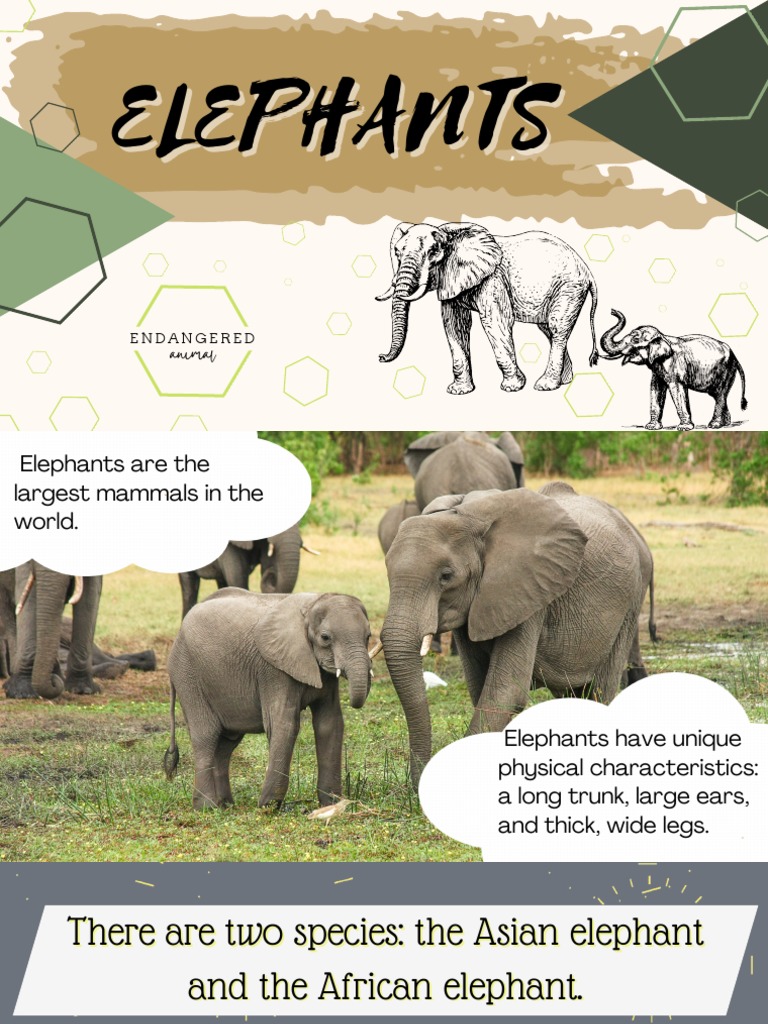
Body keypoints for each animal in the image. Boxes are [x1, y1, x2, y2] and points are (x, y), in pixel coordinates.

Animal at [165, 589, 374, 810]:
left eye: (368, 636)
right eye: (325, 638)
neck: (311, 605)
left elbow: (330, 724)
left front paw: (331, 804)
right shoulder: (274, 670)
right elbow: (284, 724)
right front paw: (269, 806)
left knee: (226, 743)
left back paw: (226, 805)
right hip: (187, 675)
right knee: (206, 735)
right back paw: (207, 807)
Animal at [376, 221, 598, 394]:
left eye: (432, 252)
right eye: (397, 252)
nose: (381, 357)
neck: (449, 232)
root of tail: (587, 270)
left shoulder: (493, 280)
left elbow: (496, 321)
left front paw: (512, 388)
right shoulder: (451, 281)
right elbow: (455, 326)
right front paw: (459, 391)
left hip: (569, 288)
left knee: (556, 327)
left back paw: (545, 386)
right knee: (549, 330)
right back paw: (563, 382)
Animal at [380, 483, 655, 786]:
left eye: (446, 576)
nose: (418, 782)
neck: (466, 516)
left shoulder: (529, 591)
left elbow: (504, 691)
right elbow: (480, 687)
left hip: (631, 602)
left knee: (601, 688)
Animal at [599, 309, 748, 430]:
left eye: (636, 339)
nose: (612, 311)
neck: (663, 336)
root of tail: (736, 357)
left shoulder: (675, 366)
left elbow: (676, 389)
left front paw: (684, 428)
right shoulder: (658, 367)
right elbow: (656, 388)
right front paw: (652, 427)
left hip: (725, 370)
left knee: (719, 394)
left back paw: (714, 425)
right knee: (719, 395)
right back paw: (725, 424)